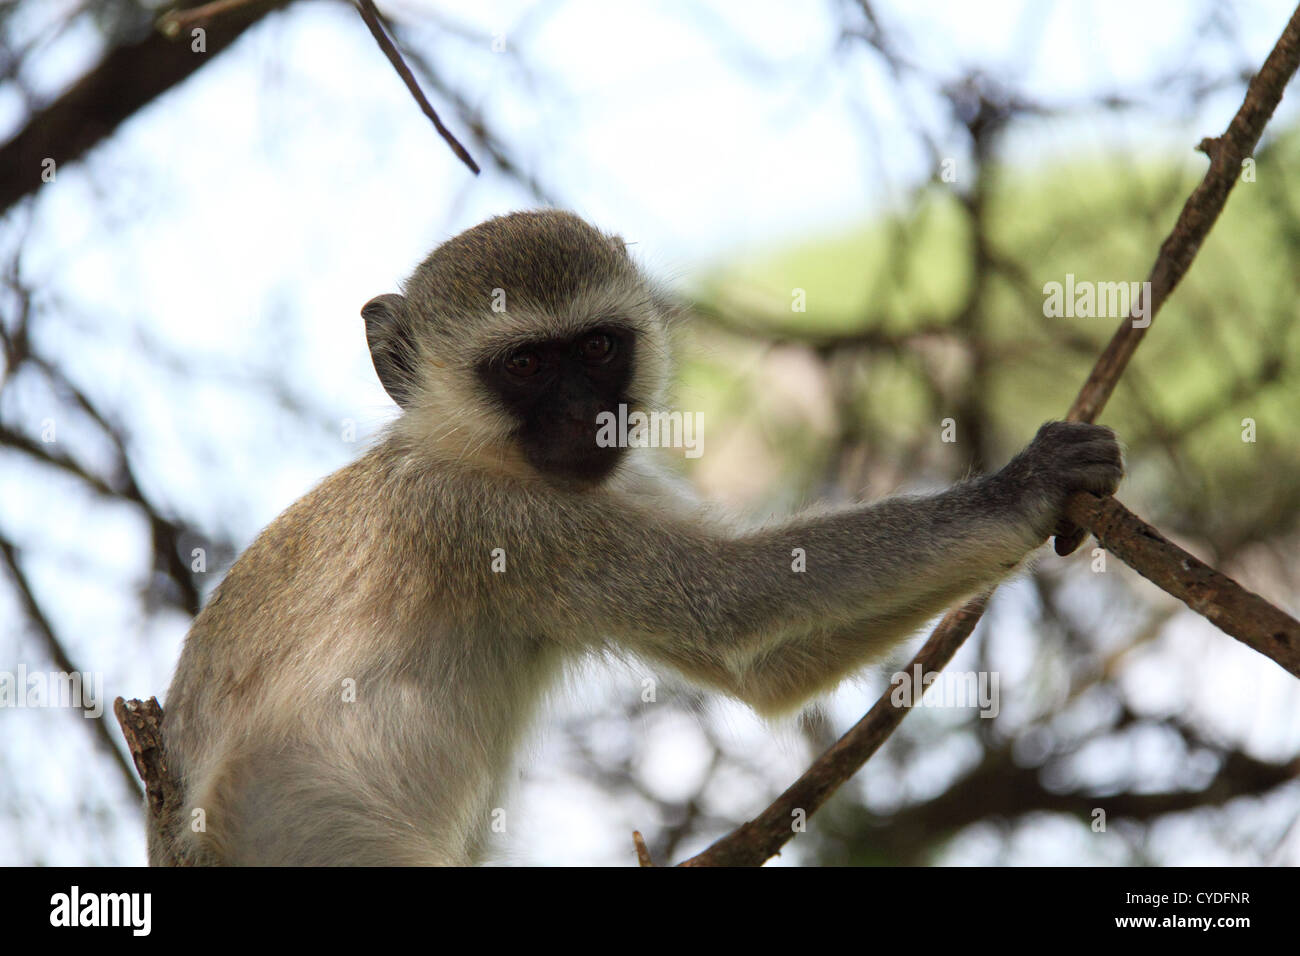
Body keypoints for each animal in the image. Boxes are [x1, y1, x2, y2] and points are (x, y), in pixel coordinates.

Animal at [153, 209, 1123, 866]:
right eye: (527, 364)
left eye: (597, 348)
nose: (588, 414)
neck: (465, 451)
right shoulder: (489, 521)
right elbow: (735, 605)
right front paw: (1025, 486)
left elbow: (764, 662)